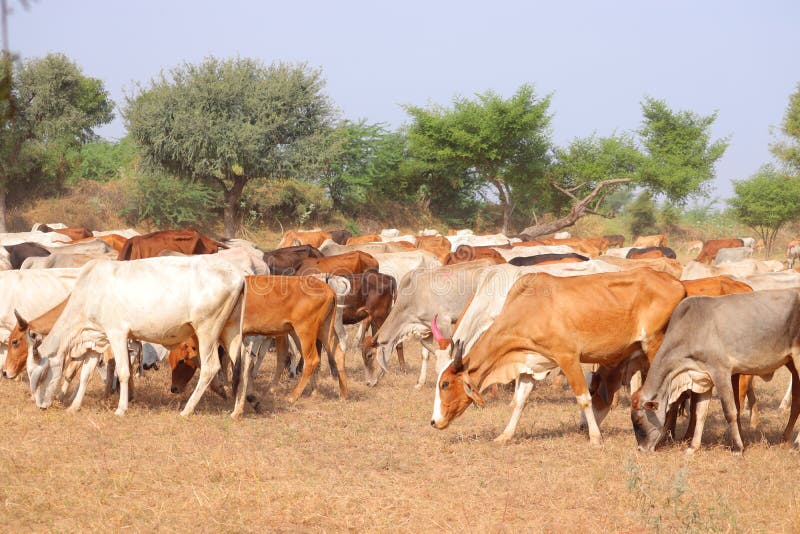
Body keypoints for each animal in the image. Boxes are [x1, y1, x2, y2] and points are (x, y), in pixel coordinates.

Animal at [26, 256, 245, 416]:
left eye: (42, 374)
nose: (41, 405)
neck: (90, 291)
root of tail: (238, 276)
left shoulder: (117, 333)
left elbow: (123, 372)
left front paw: (121, 408)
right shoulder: (97, 338)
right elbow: (85, 375)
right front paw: (74, 406)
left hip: (207, 331)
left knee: (210, 368)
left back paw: (187, 410)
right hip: (230, 331)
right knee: (242, 365)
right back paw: (237, 411)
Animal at [430, 269, 686, 445]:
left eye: (445, 384)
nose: (434, 422)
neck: (529, 308)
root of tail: (677, 283)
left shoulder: (568, 358)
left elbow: (584, 398)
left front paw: (595, 437)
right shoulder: (530, 366)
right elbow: (519, 402)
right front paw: (505, 435)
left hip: (655, 347)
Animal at [631, 290, 800, 454]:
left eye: (638, 420)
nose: (641, 449)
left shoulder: (721, 373)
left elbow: (730, 411)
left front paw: (738, 448)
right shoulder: (703, 378)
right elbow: (700, 413)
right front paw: (692, 448)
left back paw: (795, 444)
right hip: (791, 364)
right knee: (796, 404)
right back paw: (785, 439)